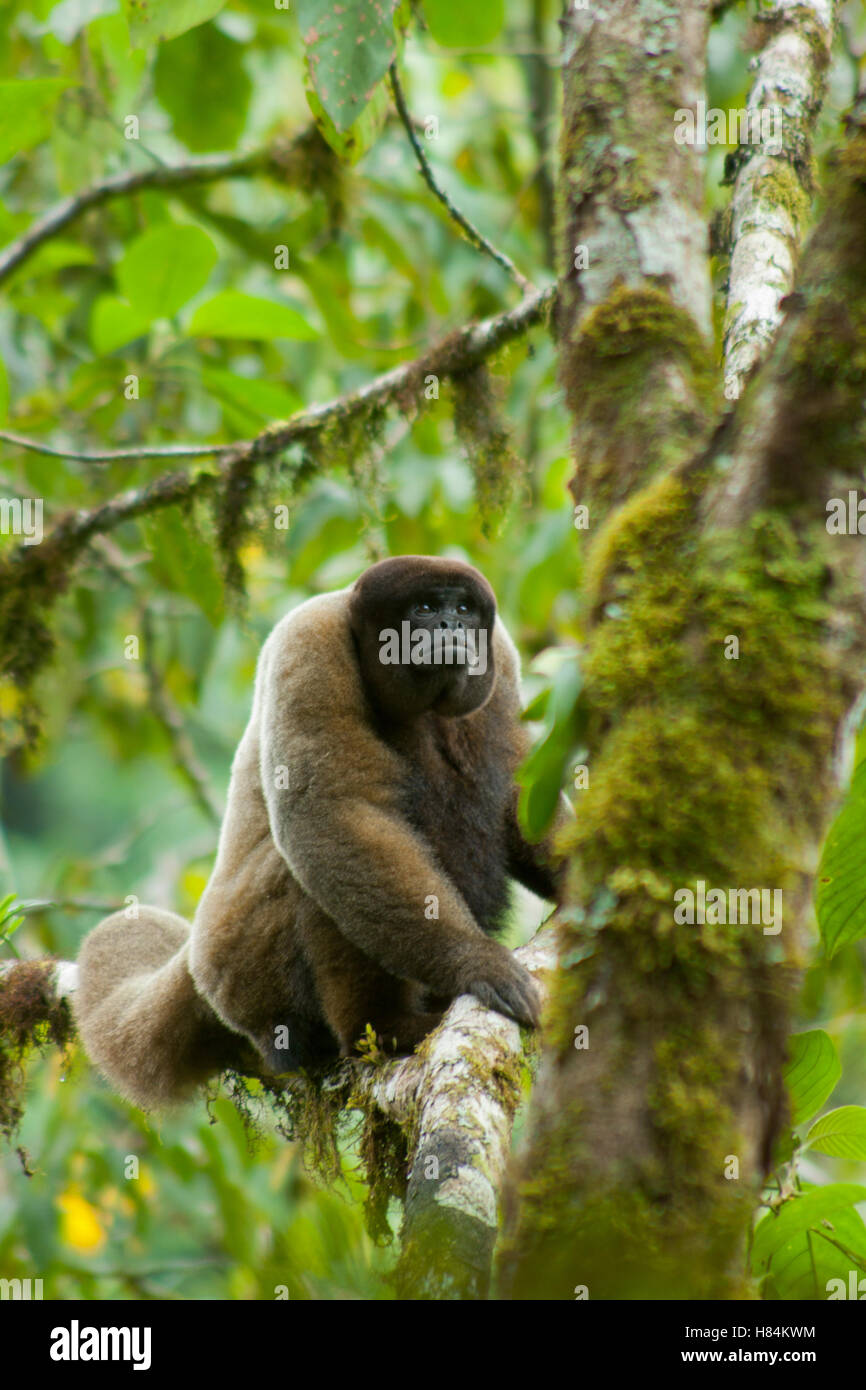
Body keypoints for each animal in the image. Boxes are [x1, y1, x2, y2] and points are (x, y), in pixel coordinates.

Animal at [73, 556, 569, 1110]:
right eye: (424, 607)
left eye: (464, 609)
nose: (450, 627)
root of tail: (199, 962)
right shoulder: (310, 642)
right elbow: (332, 814)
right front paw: (477, 963)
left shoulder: (499, 655)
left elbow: (520, 796)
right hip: (248, 976)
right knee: (312, 868)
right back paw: (381, 1030)